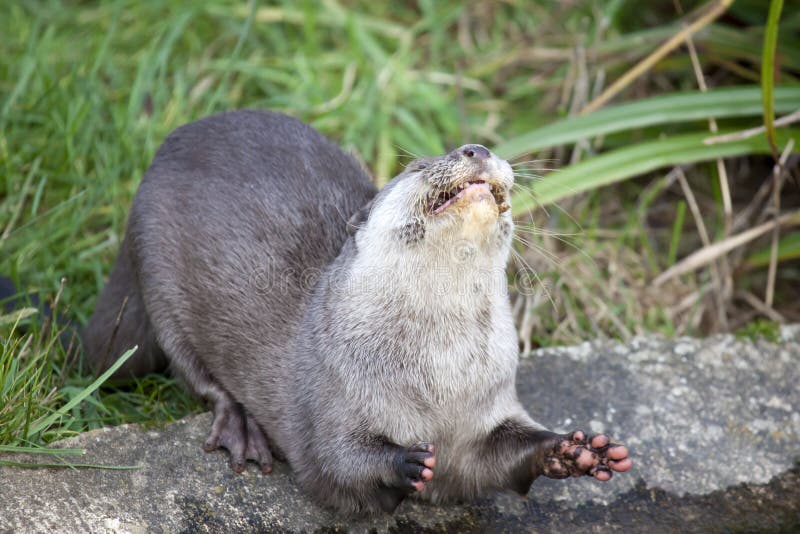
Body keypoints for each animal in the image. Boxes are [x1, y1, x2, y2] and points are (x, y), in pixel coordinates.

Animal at [83, 110, 631, 515]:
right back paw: (241, 427)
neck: (440, 375)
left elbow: (500, 462)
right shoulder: (330, 390)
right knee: (194, 372)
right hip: (156, 272)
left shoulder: (487, 409)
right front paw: (404, 462)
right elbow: (333, 464)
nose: (476, 149)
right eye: (416, 167)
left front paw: (574, 451)